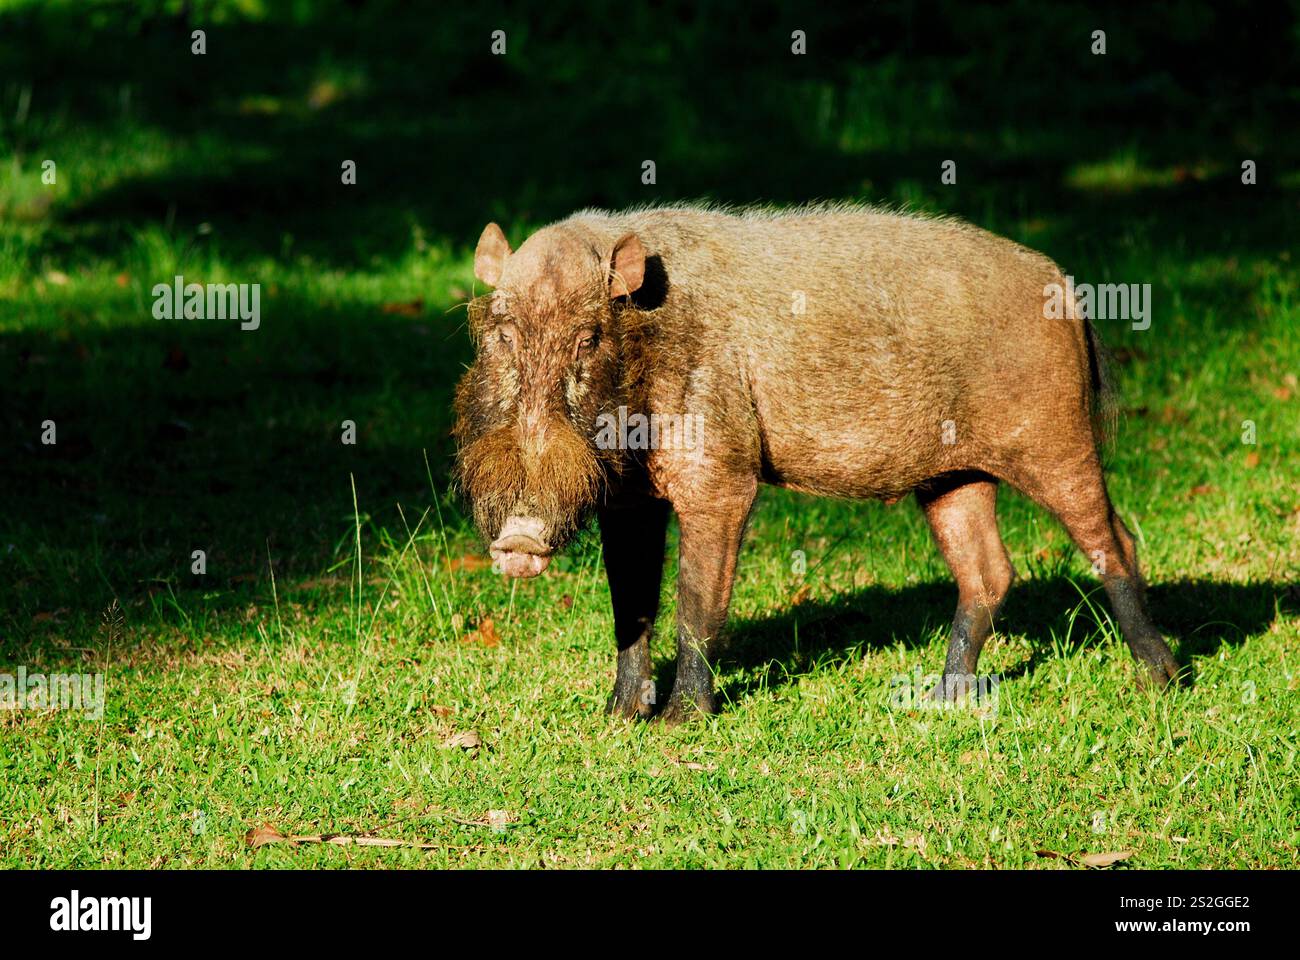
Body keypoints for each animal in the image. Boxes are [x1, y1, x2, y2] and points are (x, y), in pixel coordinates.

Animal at [453, 203, 1179, 724]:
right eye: (502, 333)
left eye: (587, 337)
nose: (517, 543)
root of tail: (1069, 292)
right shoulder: (630, 498)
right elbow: (630, 604)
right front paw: (613, 720)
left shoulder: (725, 473)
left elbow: (695, 599)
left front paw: (681, 724)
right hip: (953, 476)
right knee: (989, 571)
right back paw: (941, 702)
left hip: (1056, 434)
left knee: (1114, 543)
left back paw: (1163, 683)